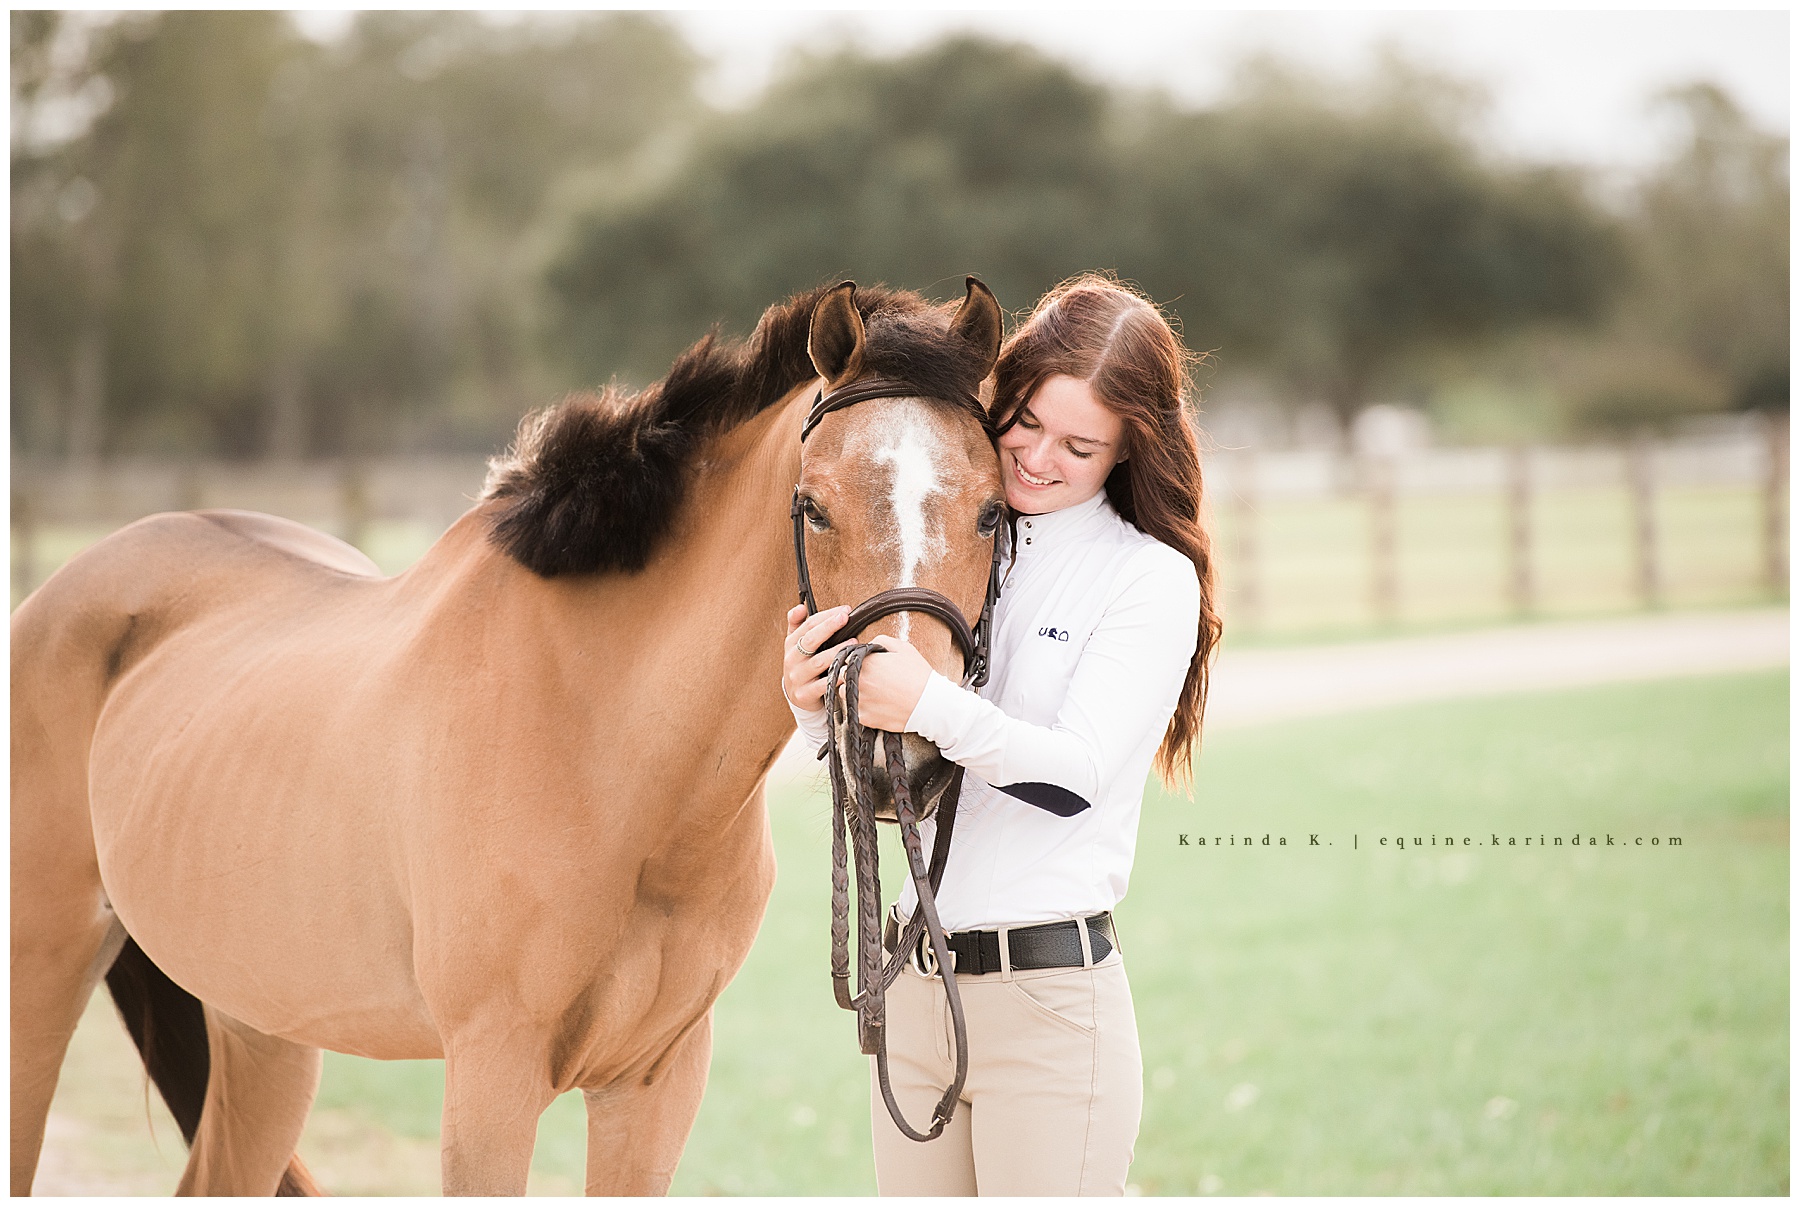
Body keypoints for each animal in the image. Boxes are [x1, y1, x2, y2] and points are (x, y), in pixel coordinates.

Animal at [11, 278, 1005, 1195]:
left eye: (995, 511)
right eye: (814, 506)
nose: (908, 757)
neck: (610, 749)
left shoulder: (657, 1083)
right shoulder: (492, 1077)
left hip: (263, 1025)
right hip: (43, 979)